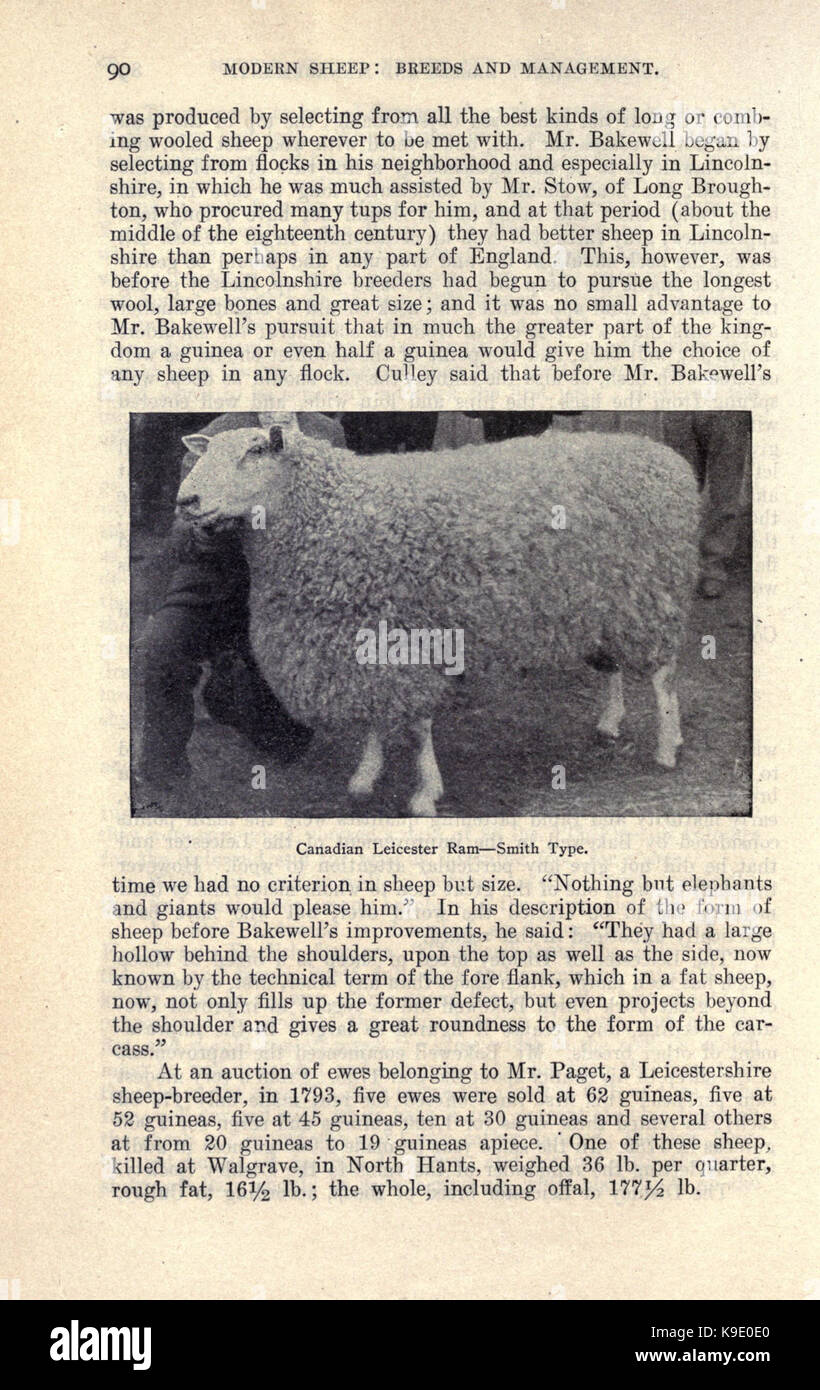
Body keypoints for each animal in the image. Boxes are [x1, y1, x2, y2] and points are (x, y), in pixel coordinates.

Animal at [176, 413, 699, 815]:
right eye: (205, 454)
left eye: (256, 451)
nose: (186, 501)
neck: (331, 512)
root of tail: (663, 455)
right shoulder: (369, 642)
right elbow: (377, 715)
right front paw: (365, 776)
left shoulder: (412, 636)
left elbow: (417, 727)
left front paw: (426, 792)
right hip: (605, 598)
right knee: (613, 665)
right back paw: (611, 720)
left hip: (651, 592)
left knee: (663, 675)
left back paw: (666, 746)